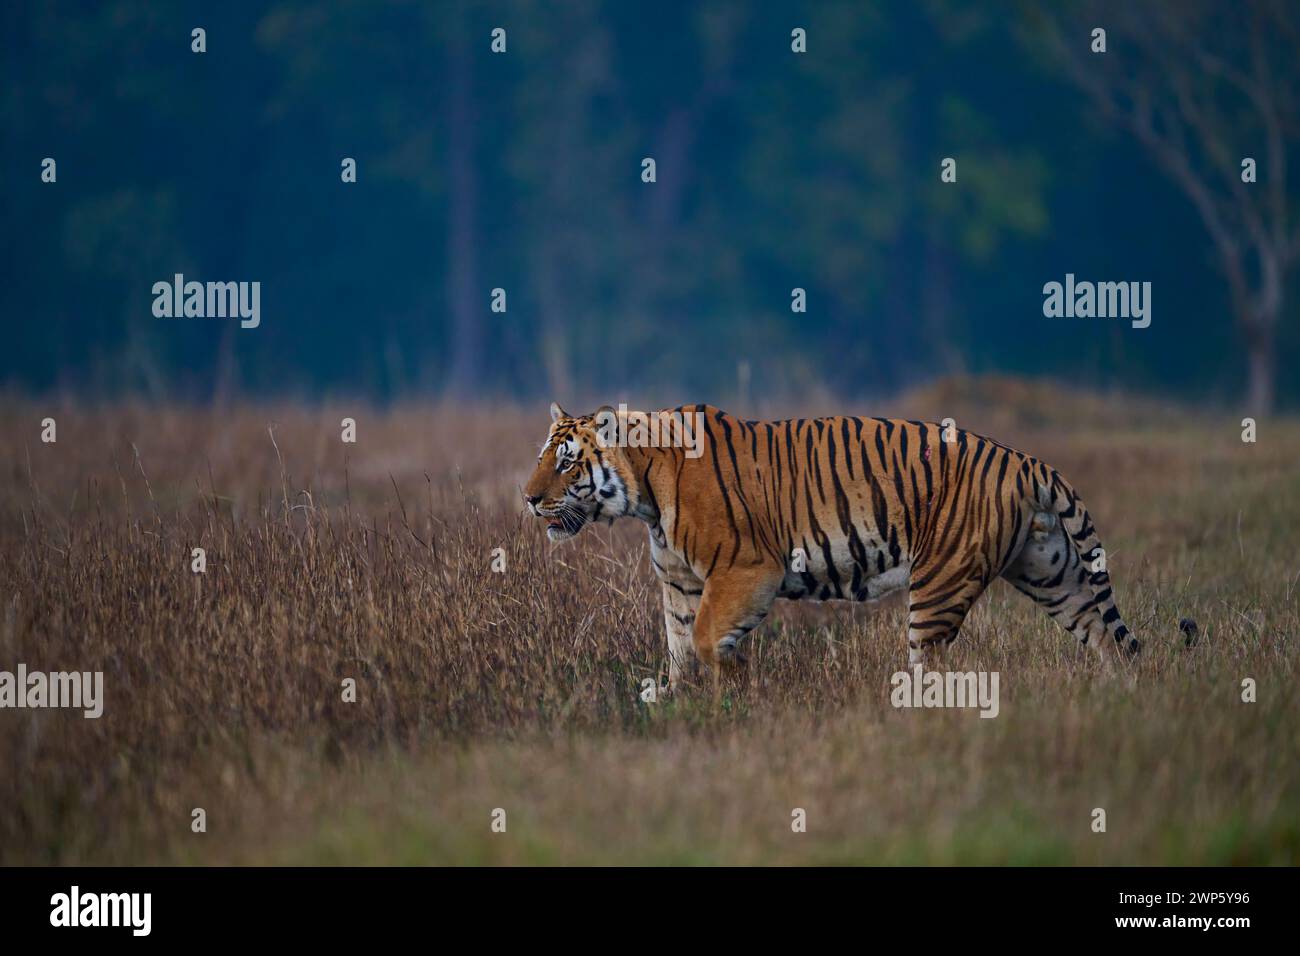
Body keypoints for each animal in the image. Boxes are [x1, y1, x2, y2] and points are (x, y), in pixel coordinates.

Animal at [524, 402, 1152, 690]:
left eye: (567, 463)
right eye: (542, 457)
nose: (528, 499)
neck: (646, 497)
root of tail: (1025, 461)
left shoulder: (747, 569)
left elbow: (705, 639)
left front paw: (735, 688)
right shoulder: (680, 584)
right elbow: (680, 648)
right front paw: (680, 705)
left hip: (939, 584)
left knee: (929, 665)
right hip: (1052, 571)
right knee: (1106, 637)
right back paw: (1119, 695)